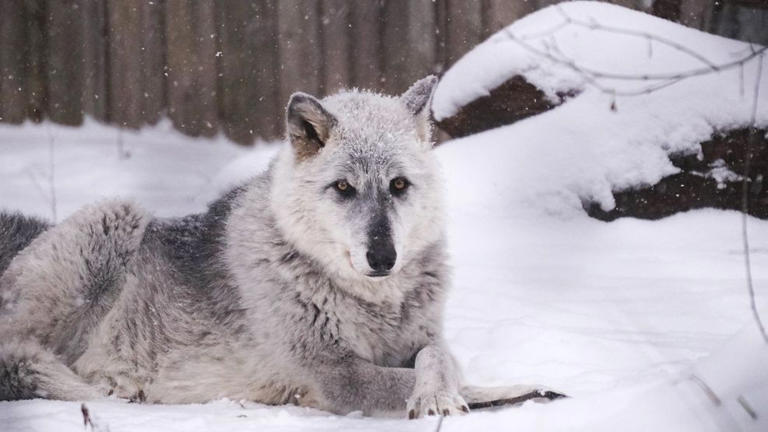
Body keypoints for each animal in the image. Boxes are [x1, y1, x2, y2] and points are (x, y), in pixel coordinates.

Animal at [0, 76, 562, 418]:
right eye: (343, 188)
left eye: (399, 186)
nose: (383, 258)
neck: (370, 302)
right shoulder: (336, 376)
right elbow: (419, 381)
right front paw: (452, 400)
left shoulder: (417, 340)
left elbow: (440, 357)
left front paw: (496, 391)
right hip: (117, 216)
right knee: (21, 356)